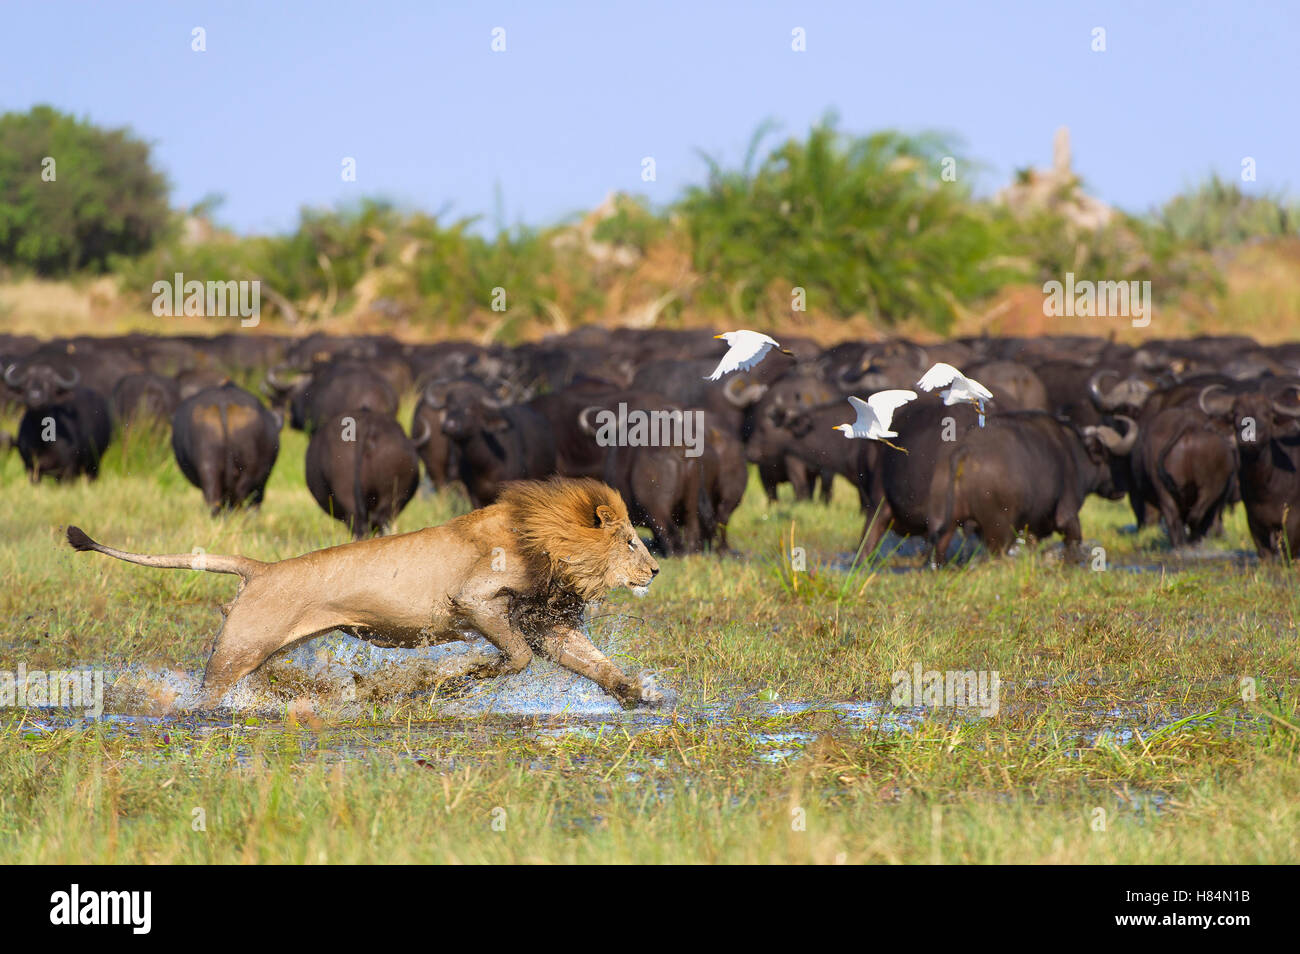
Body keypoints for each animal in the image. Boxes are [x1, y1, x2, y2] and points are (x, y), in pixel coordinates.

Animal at [66, 477, 666, 709]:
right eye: (631, 540)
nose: (657, 570)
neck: (548, 542)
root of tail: (262, 568)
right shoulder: (473, 598)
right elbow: (514, 657)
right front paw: (451, 682)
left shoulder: (547, 621)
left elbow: (594, 662)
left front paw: (635, 694)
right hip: (238, 649)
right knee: (207, 691)